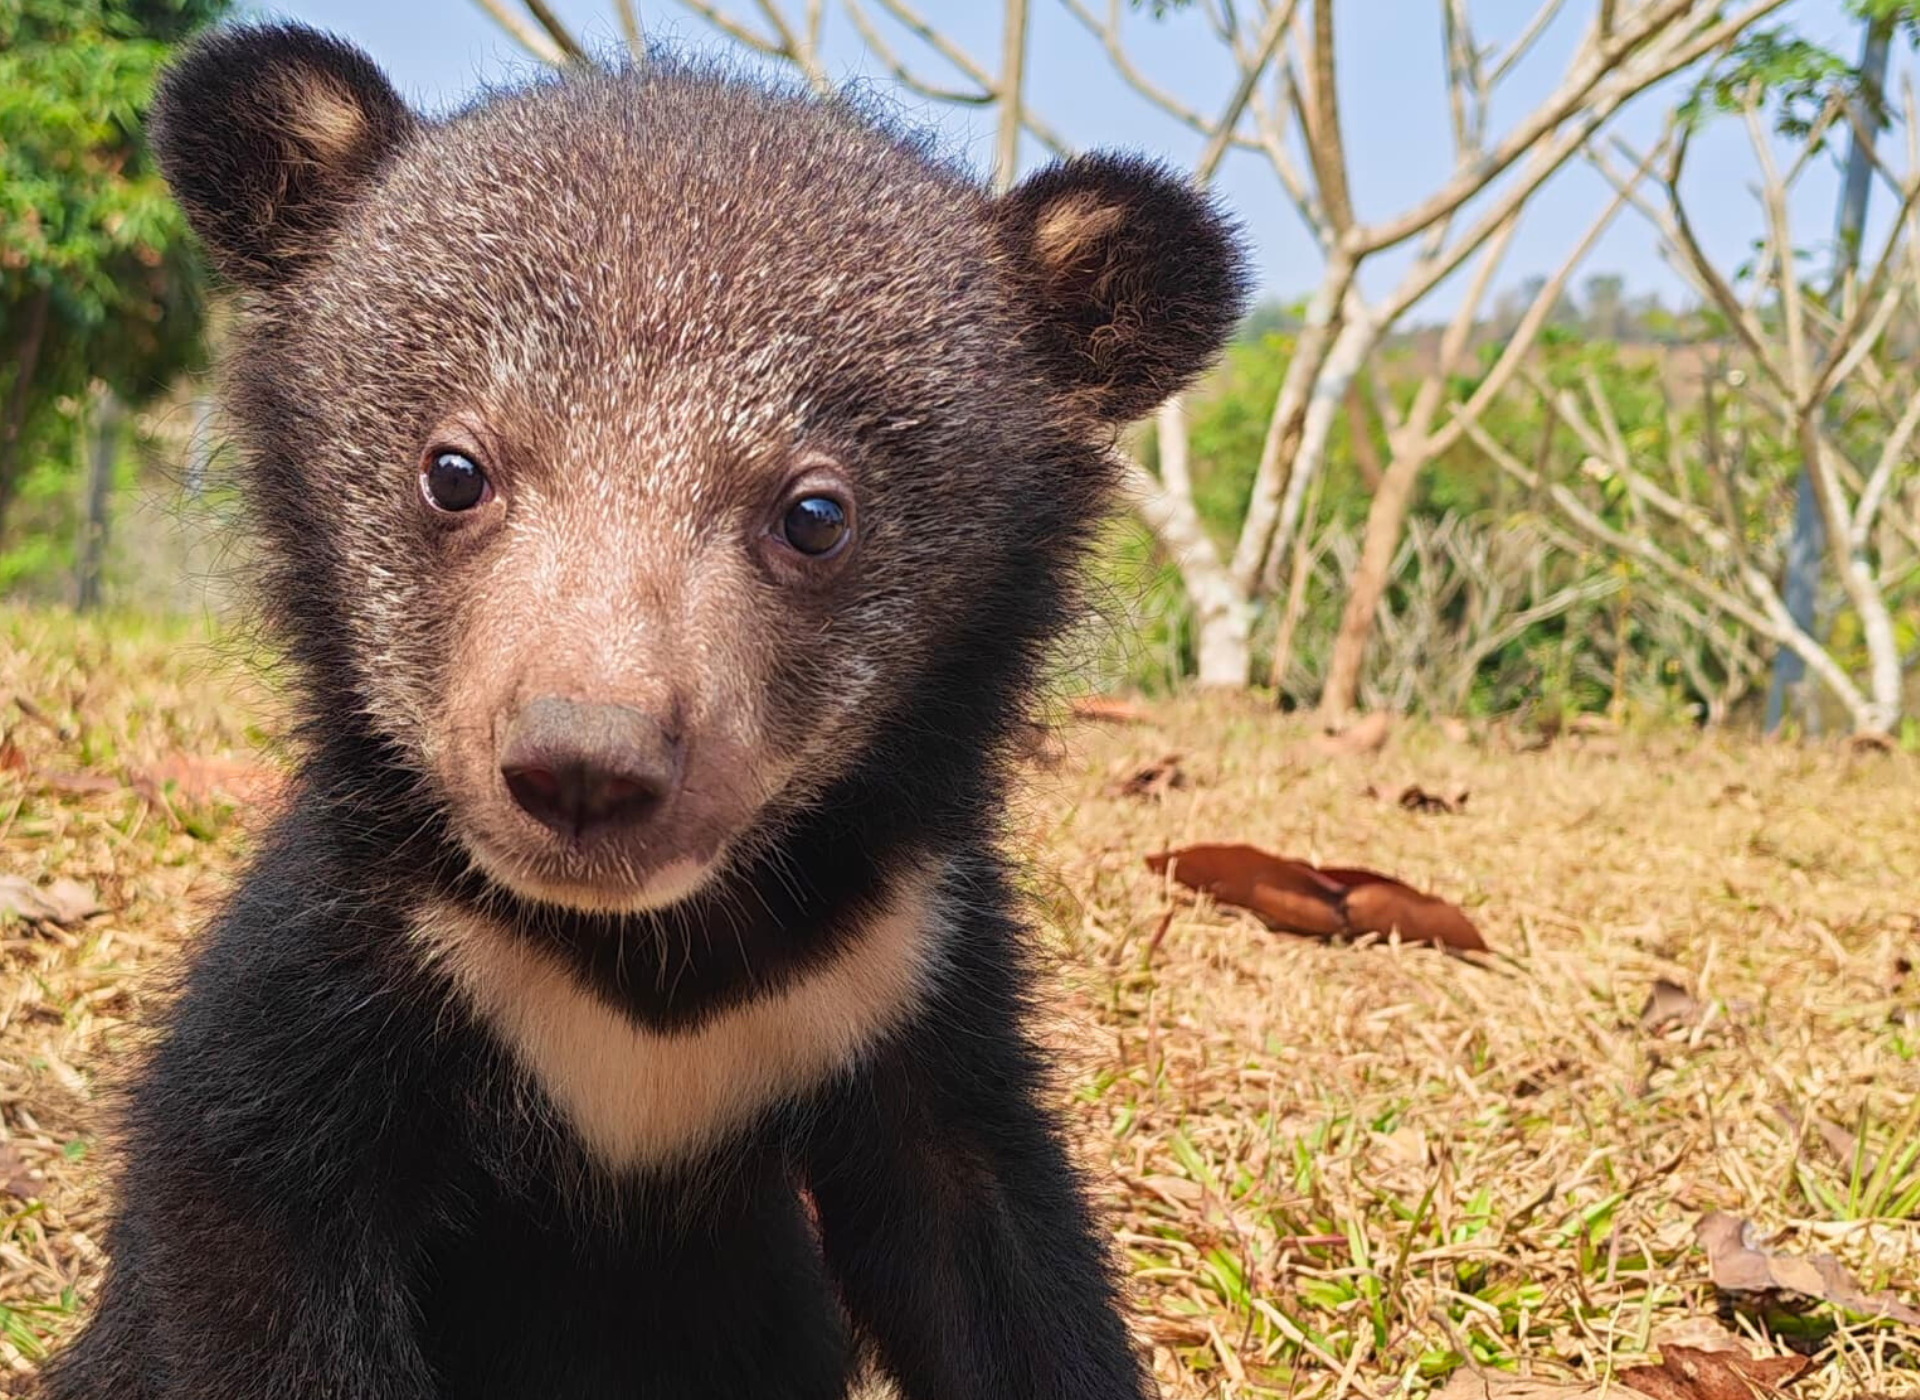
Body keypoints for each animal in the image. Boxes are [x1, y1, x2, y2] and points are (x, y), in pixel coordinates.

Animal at [40, 22, 1247, 1400]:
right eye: (453, 471)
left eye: (815, 514)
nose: (583, 766)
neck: (651, 956)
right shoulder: (357, 945)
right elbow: (243, 1203)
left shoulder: (905, 967)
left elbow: (993, 1245)